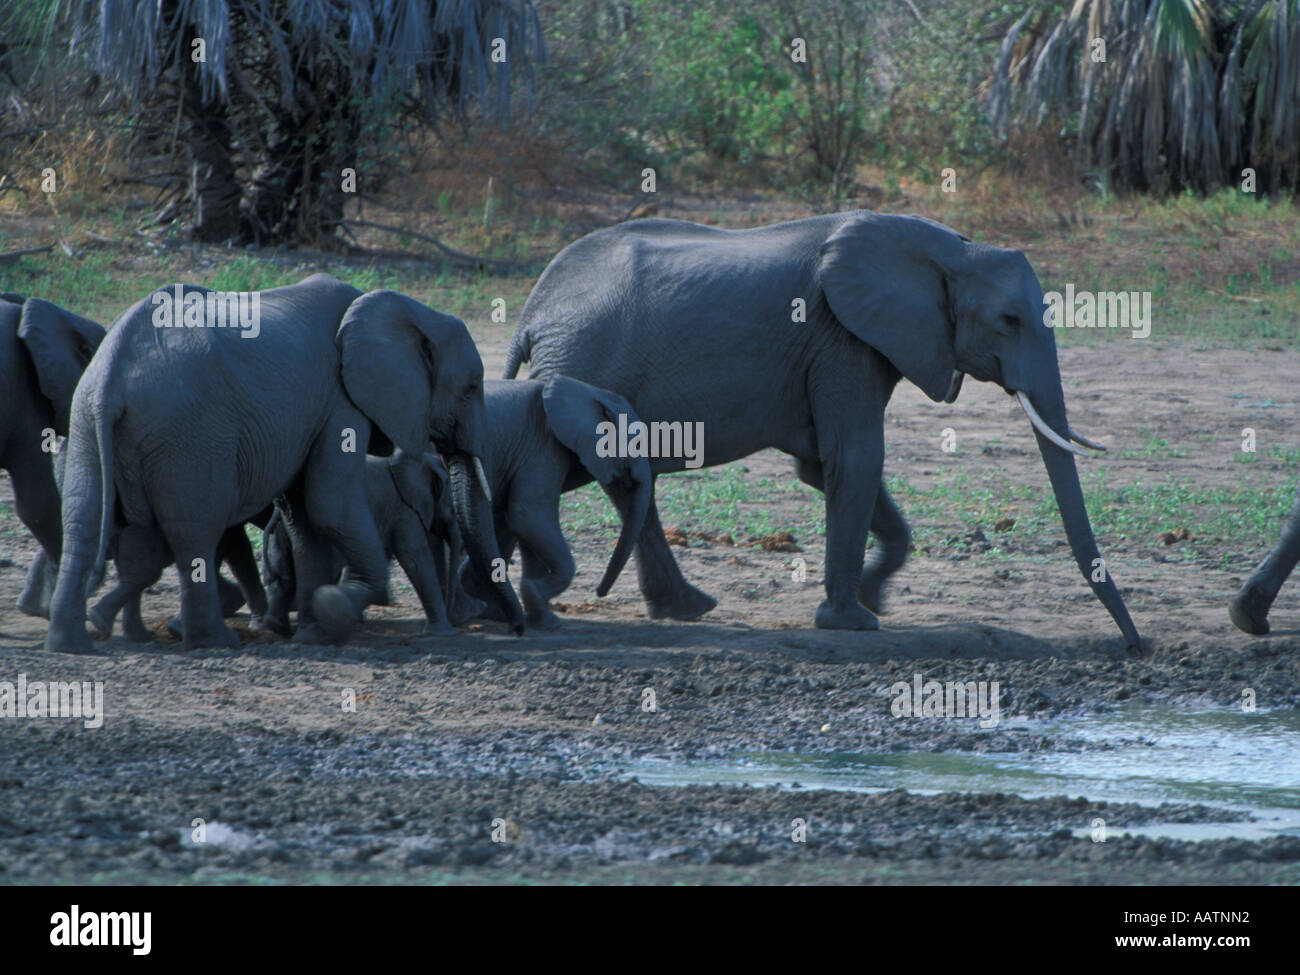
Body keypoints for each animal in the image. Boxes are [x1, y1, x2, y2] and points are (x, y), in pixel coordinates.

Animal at [259, 450, 482, 636]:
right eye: (452, 506)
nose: (459, 621)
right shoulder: (402, 507)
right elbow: (415, 558)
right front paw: (442, 632)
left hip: (285, 527)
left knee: (284, 572)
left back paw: (276, 626)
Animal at [454, 376, 653, 630]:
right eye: (637, 443)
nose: (600, 592)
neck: (591, 392)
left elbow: (515, 525)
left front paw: (541, 619)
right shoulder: (542, 445)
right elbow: (528, 516)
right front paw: (549, 619)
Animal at [504, 211, 1141, 648]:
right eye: (1009, 320)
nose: (1136, 646)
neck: (950, 248)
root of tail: (531, 314)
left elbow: (824, 466)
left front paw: (872, 598)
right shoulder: (842, 338)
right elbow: (854, 458)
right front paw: (854, 622)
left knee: (632, 484)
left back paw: (684, 608)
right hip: (586, 361)